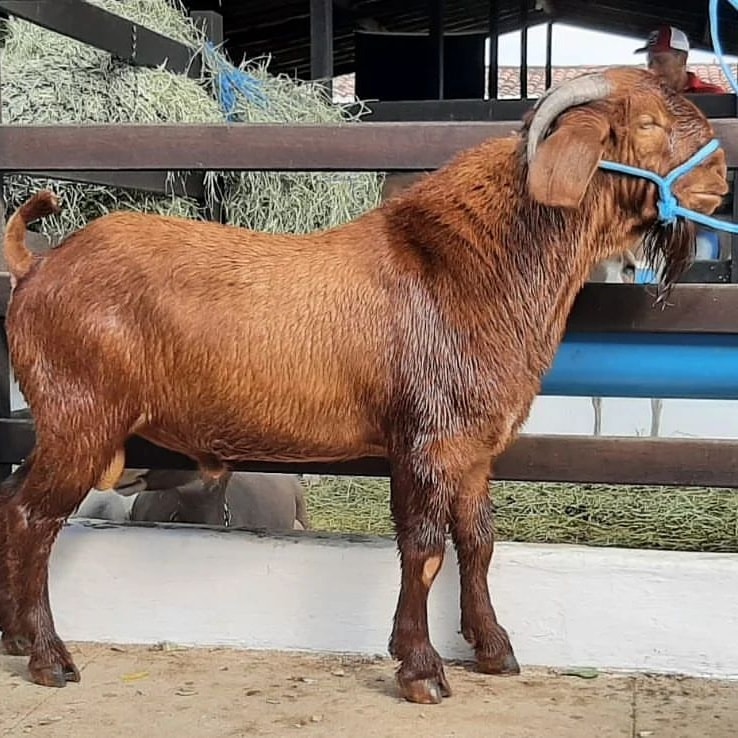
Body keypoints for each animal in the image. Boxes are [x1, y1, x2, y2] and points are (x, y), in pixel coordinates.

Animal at [0, 67, 728, 704]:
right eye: (652, 123)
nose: (720, 174)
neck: (465, 269)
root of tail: (38, 266)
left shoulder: (474, 449)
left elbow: (478, 541)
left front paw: (493, 649)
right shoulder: (425, 441)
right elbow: (424, 550)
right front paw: (423, 670)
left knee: (11, 503)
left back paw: (14, 638)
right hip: (80, 418)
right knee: (36, 517)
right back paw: (49, 657)